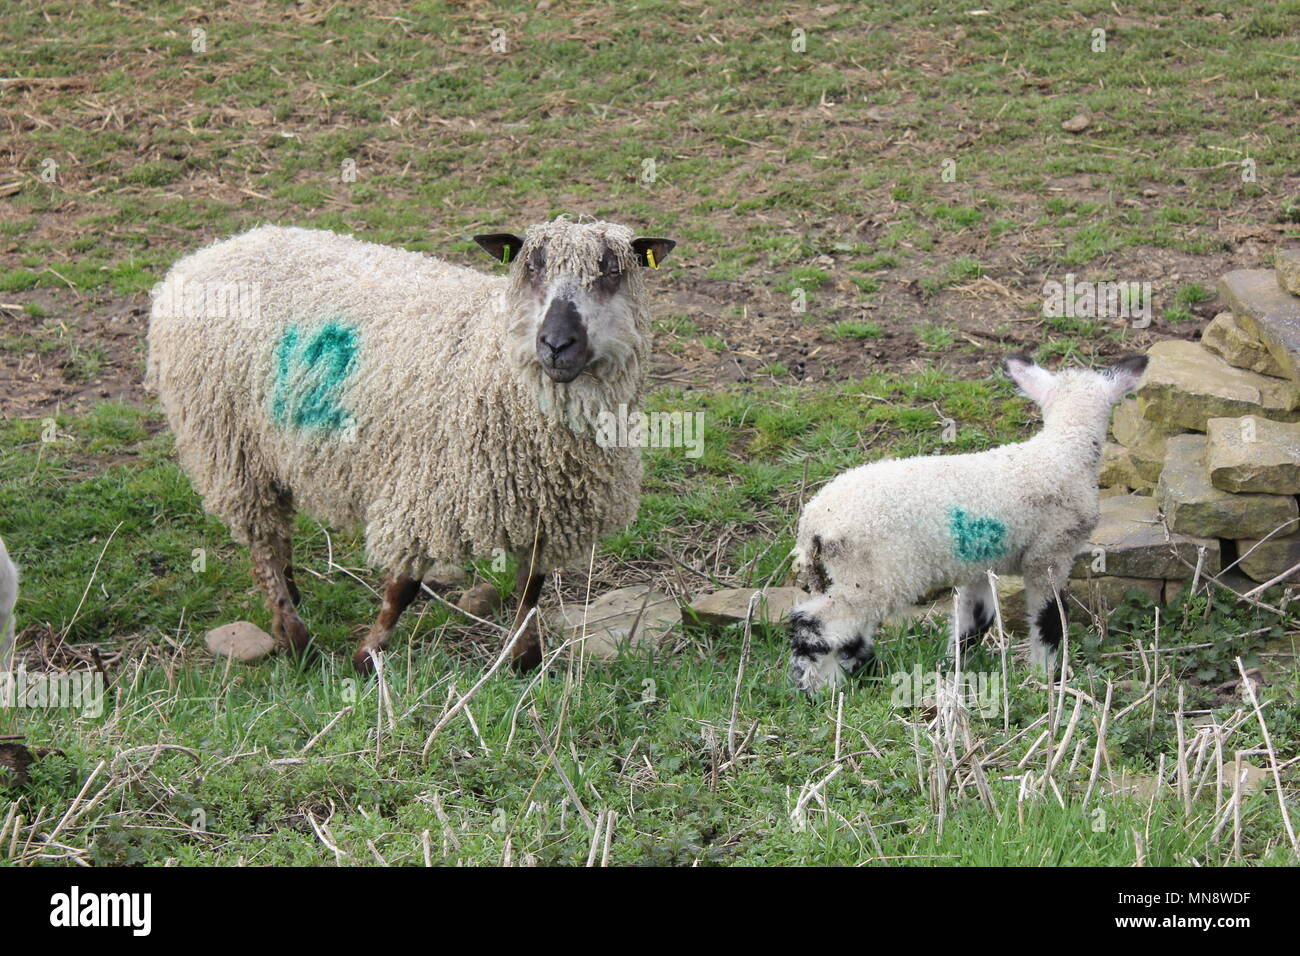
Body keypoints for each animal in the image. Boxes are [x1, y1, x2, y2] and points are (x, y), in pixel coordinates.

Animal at [146, 217, 675, 673]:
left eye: (611, 271)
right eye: (531, 267)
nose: (555, 344)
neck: (490, 363)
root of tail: (215, 250)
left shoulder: (543, 504)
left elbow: (530, 588)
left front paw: (523, 659)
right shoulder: (424, 488)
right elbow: (402, 587)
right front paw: (367, 658)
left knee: (277, 533)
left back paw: (293, 600)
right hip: (229, 443)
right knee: (262, 539)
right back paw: (294, 636)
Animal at [786, 352, 1149, 694]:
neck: (1063, 452)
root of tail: (813, 524)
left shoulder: (978, 565)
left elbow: (973, 622)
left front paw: (954, 667)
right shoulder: (1051, 553)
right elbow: (1049, 619)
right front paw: (1045, 675)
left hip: (842, 577)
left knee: (847, 633)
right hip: (873, 575)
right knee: (814, 625)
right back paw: (817, 689)